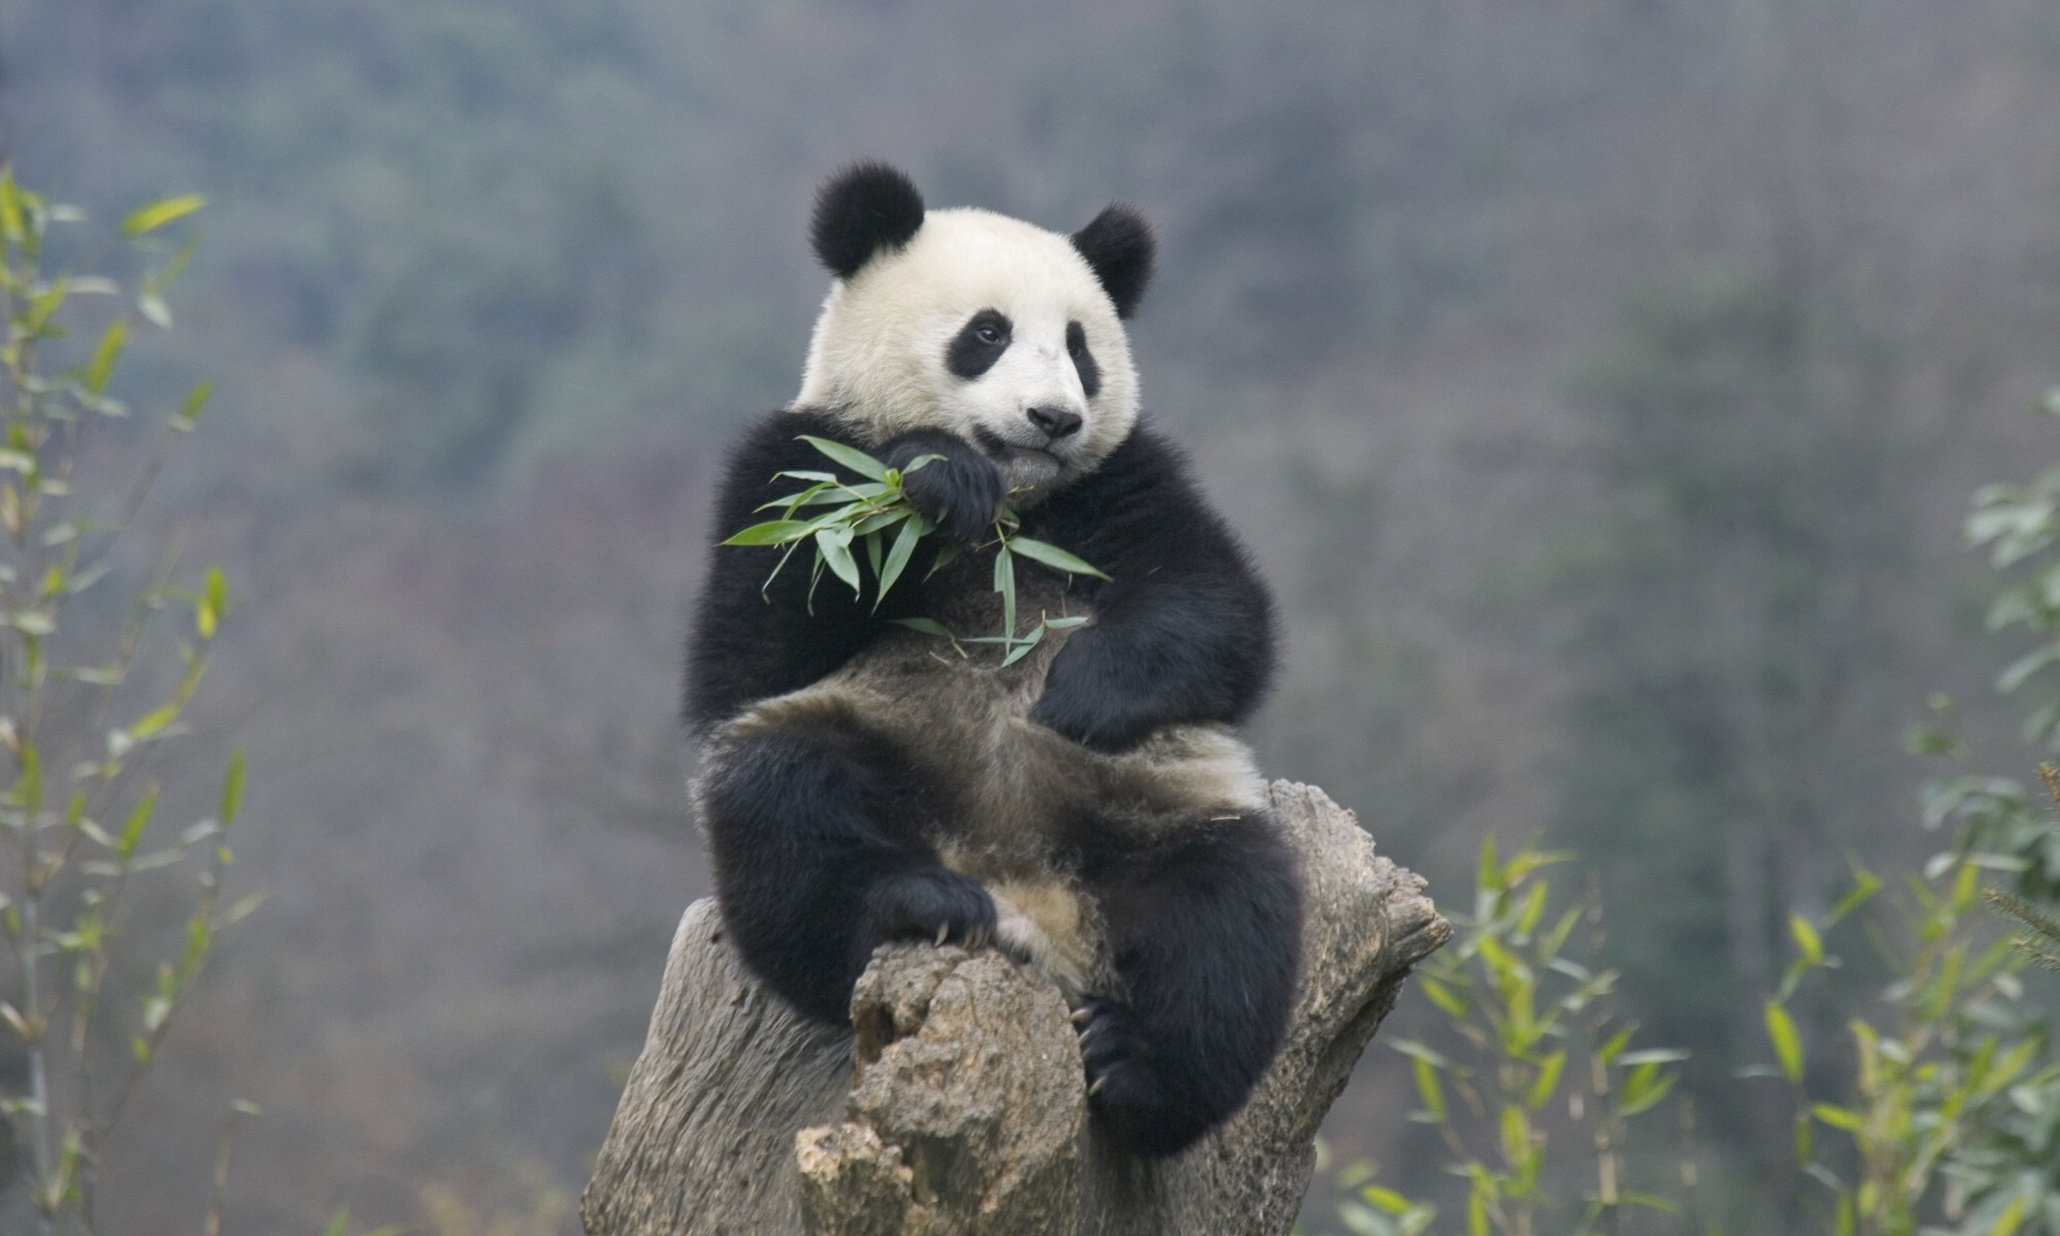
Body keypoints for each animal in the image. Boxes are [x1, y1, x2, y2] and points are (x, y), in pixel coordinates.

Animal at [685, 163, 1303, 1159]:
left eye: (1082, 348)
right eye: (988, 333)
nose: (1053, 419)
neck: (1013, 516)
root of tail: (1032, 909)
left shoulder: (1123, 481)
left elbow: (1218, 612)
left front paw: (1078, 694)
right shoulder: (796, 467)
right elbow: (749, 648)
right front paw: (934, 477)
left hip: (1155, 810)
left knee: (1228, 921)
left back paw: (1133, 1069)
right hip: (871, 743)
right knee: (784, 812)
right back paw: (922, 901)